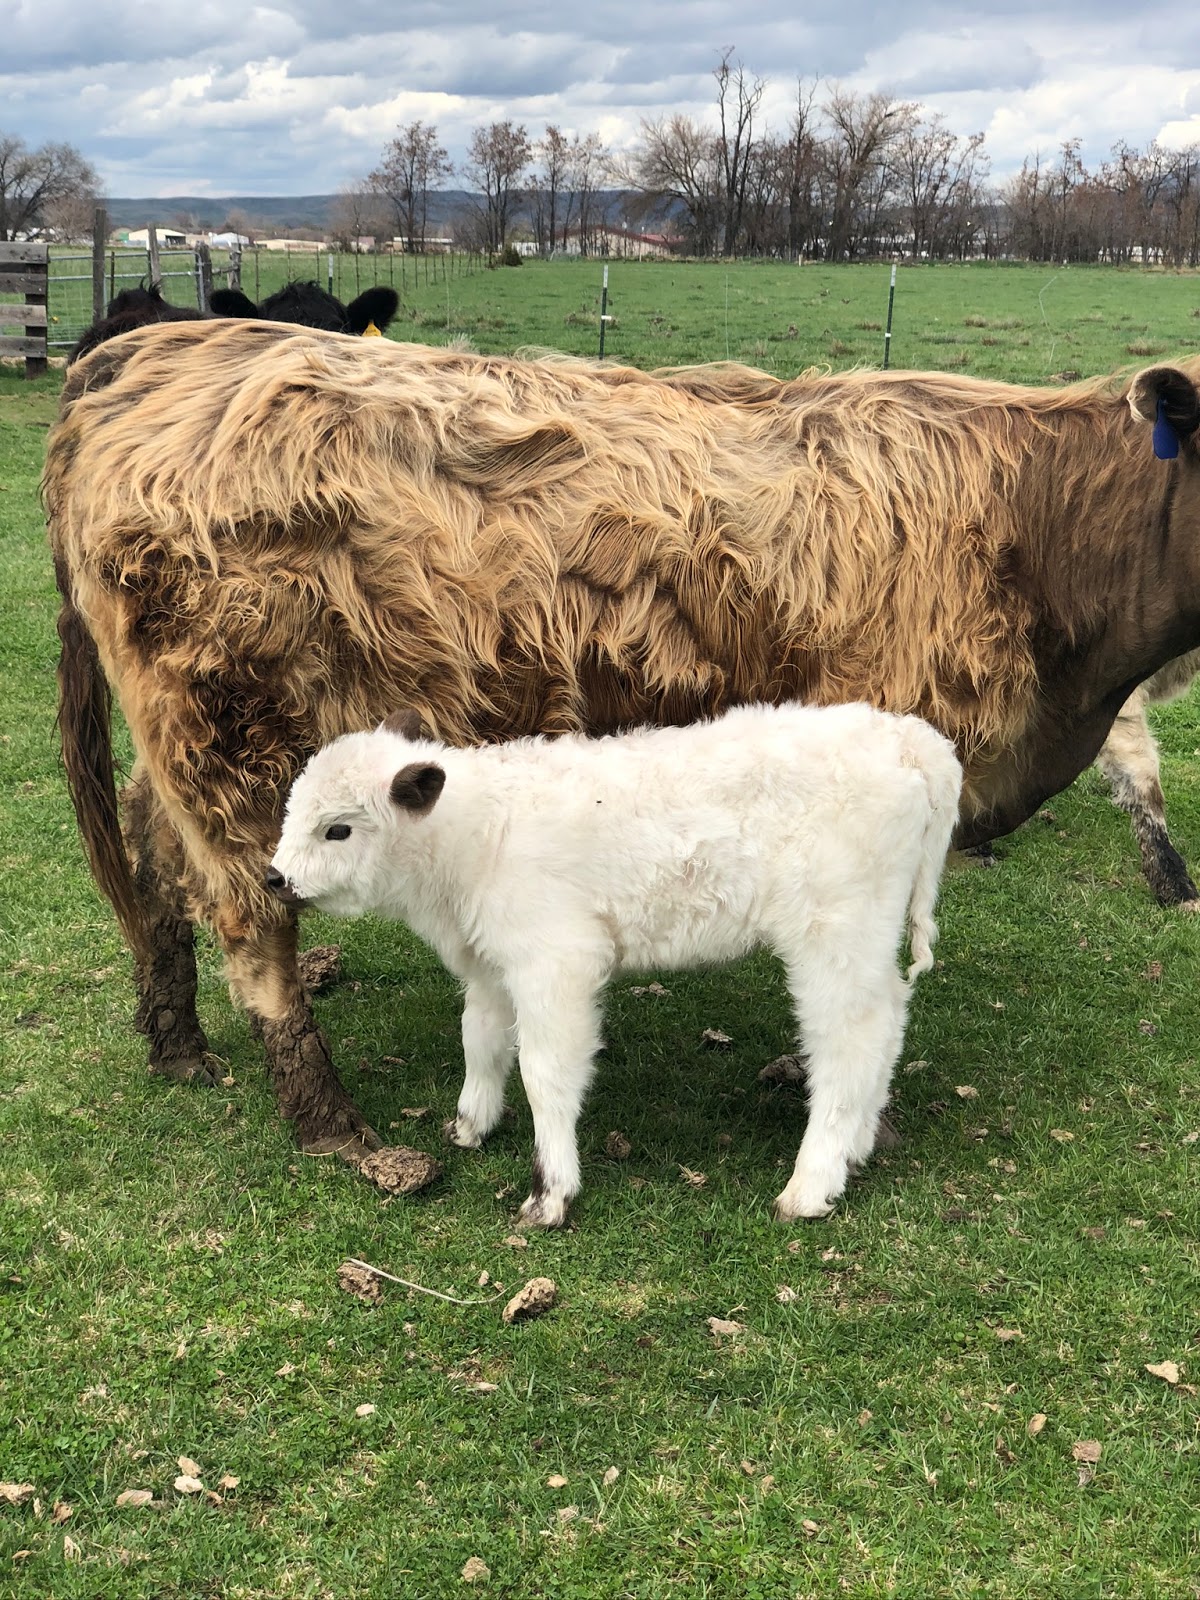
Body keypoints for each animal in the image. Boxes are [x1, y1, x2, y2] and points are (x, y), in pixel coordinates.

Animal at [267, 704, 961, 1222]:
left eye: (337, 829)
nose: (275, 877)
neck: (479, 835)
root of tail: (914, 740)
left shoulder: (555, 961)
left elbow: (546, 1073)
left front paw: (550, 1192)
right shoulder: (492, 964)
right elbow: (480, 1042)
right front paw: (470, 1125)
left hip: (834, 934)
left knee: (850, 1040)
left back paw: (812, 1182)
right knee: (887, 1019)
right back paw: (857, 1147)